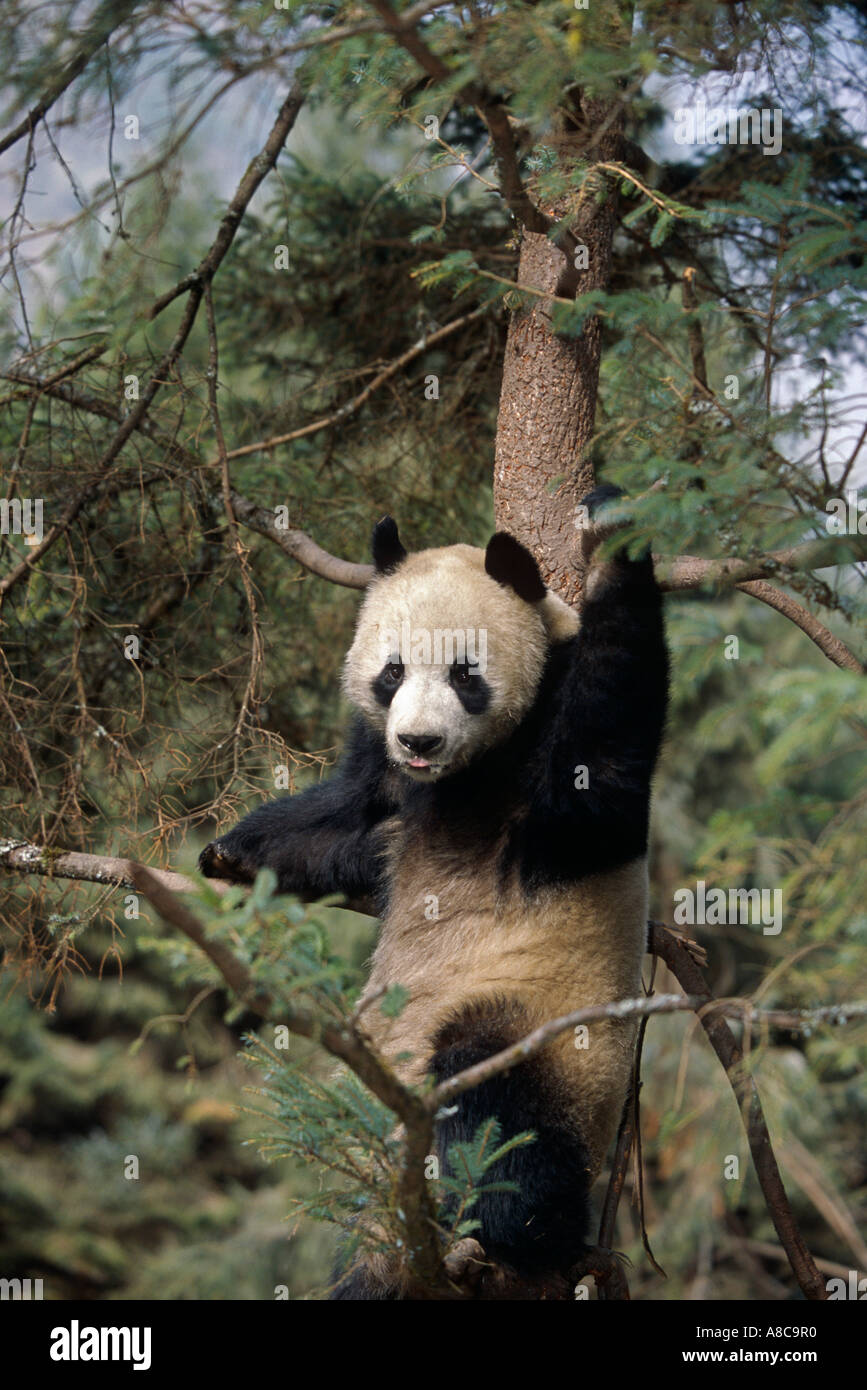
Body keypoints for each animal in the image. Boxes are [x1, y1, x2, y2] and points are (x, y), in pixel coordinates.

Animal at [199, 485, 669, 1298]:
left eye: (465, 674)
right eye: (391, 673)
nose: (418, 741)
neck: (462, 774)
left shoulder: (554, 749)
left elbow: (599, 769)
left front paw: (612, 530)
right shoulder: (383, 771)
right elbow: (348, 824)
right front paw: (230, 855)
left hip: (547, 1029)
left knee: (500, 1110)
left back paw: (512, 1236)